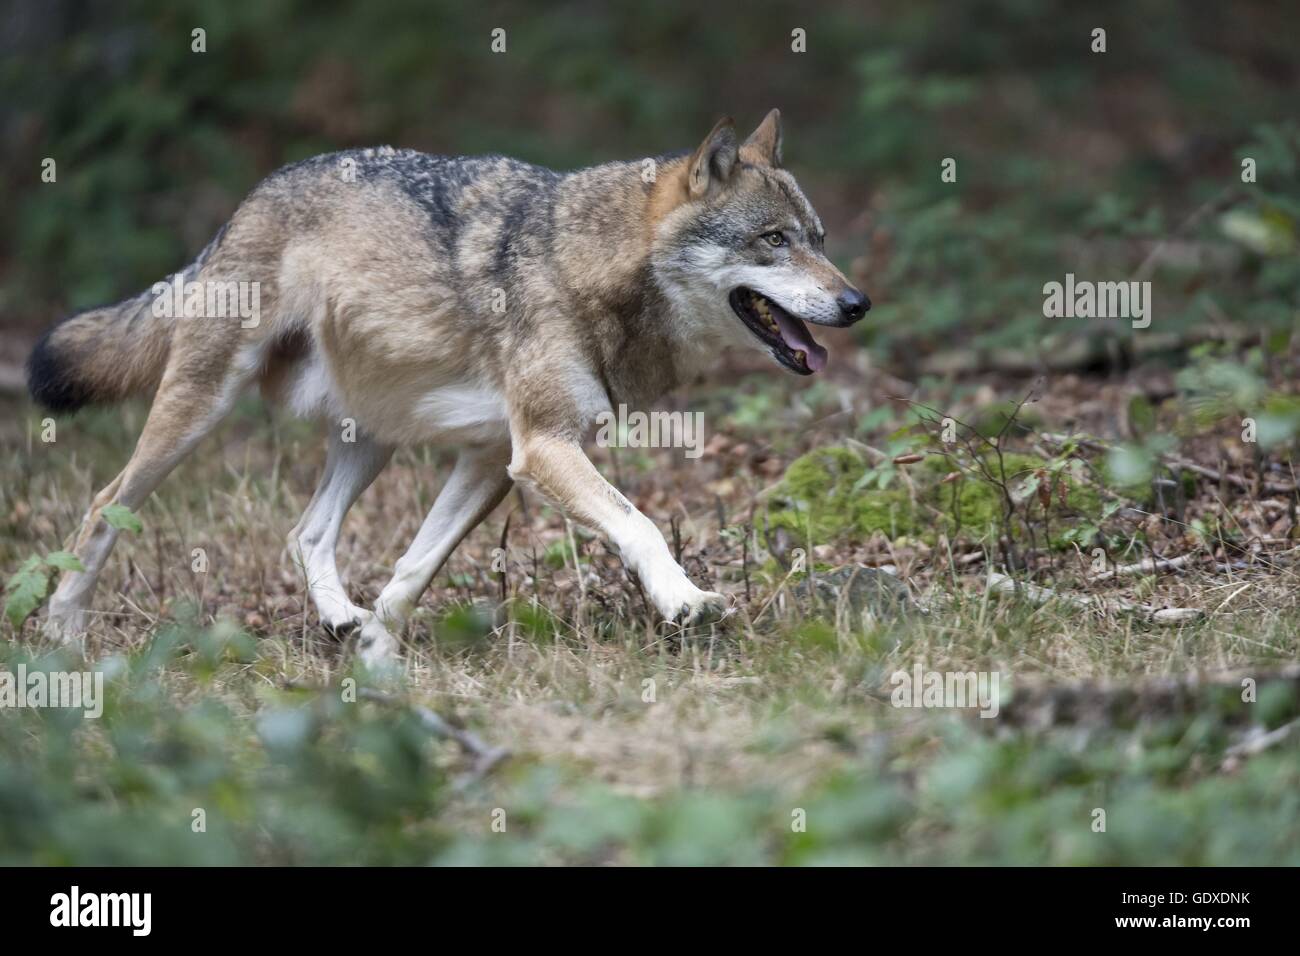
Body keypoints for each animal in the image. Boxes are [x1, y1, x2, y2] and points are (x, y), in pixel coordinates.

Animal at [26, 110, 869, 664]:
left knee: (305, 530)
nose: (858, 303)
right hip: (199, 413)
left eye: (821, 240)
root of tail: (248, 200)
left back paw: (339, 621)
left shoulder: (493, 461)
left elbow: (413, 569)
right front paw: (684, 600)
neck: (585, 268)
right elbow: (642, 526)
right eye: (773, 241)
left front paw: (376, 653)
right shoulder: (544, 450)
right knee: (105, 503)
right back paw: (61, 631)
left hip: (373, 442)